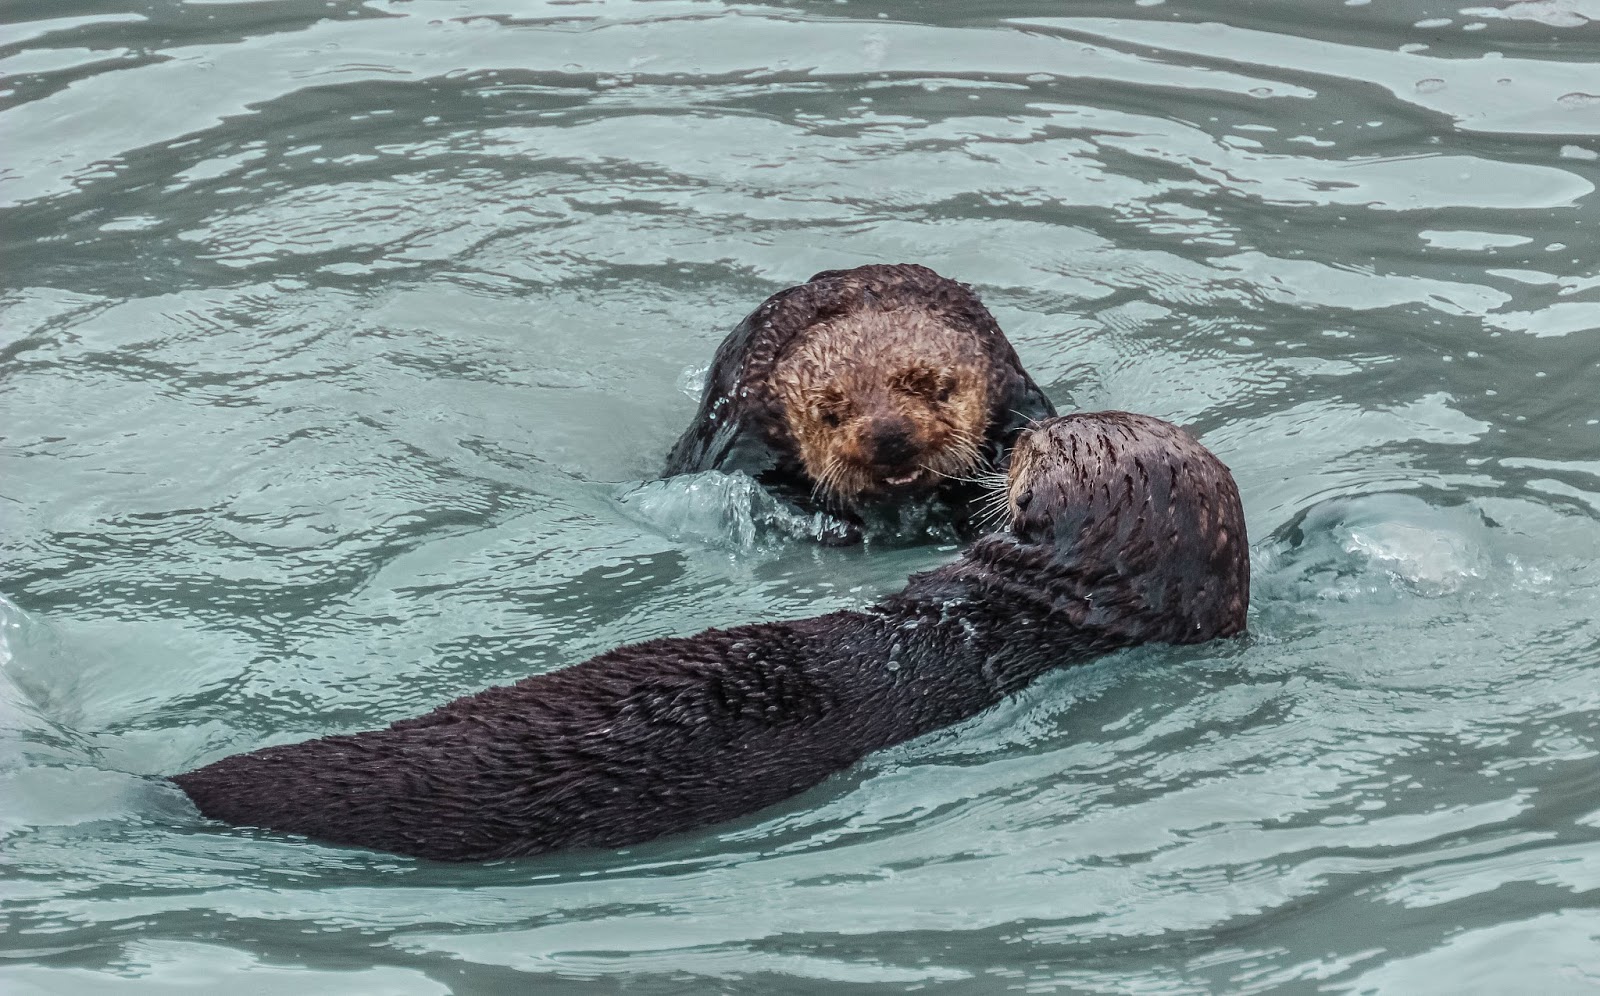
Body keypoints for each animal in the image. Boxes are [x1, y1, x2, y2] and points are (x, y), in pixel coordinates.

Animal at [664, 263, 1056, 542]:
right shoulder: (749, 429)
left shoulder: (1012, 393)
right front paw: (841, 524)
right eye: (830, 414)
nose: (890, 436)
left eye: (934, 387)